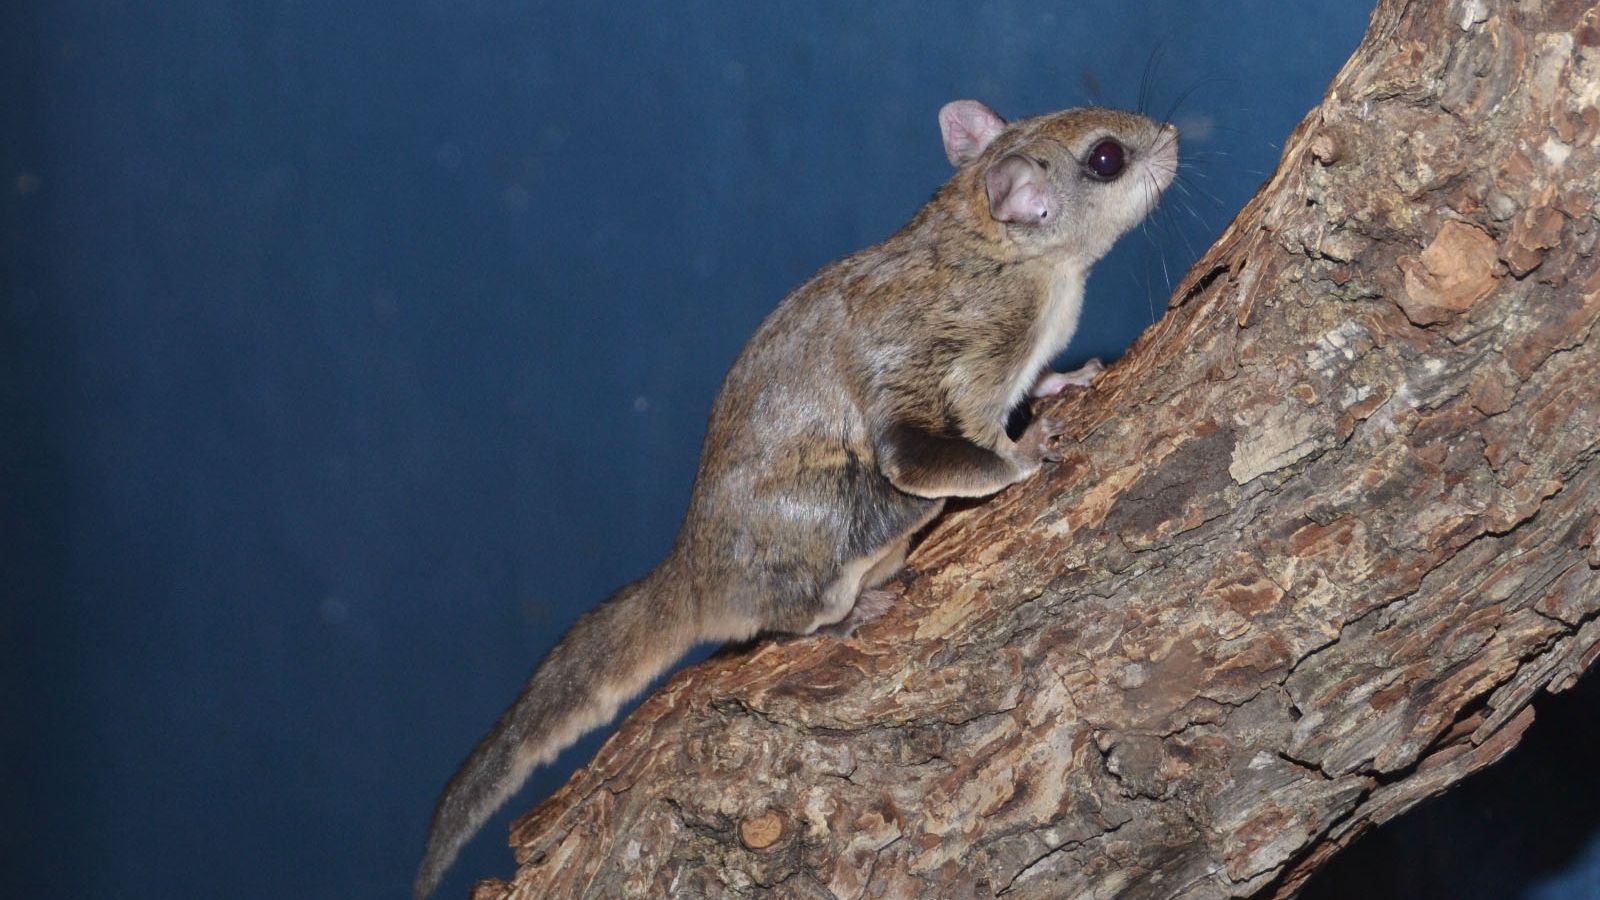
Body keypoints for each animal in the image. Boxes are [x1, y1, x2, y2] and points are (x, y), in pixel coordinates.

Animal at [415, 99, 1178, 899]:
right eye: (1106, 158)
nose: (1173, 136)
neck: (1006, 251)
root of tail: (690, 574)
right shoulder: (954, 359)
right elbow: (952, 451)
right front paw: (1027, 454)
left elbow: (1032, 388)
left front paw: (1067, 380)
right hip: (849, 518)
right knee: (798, 612)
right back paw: (850, 614)